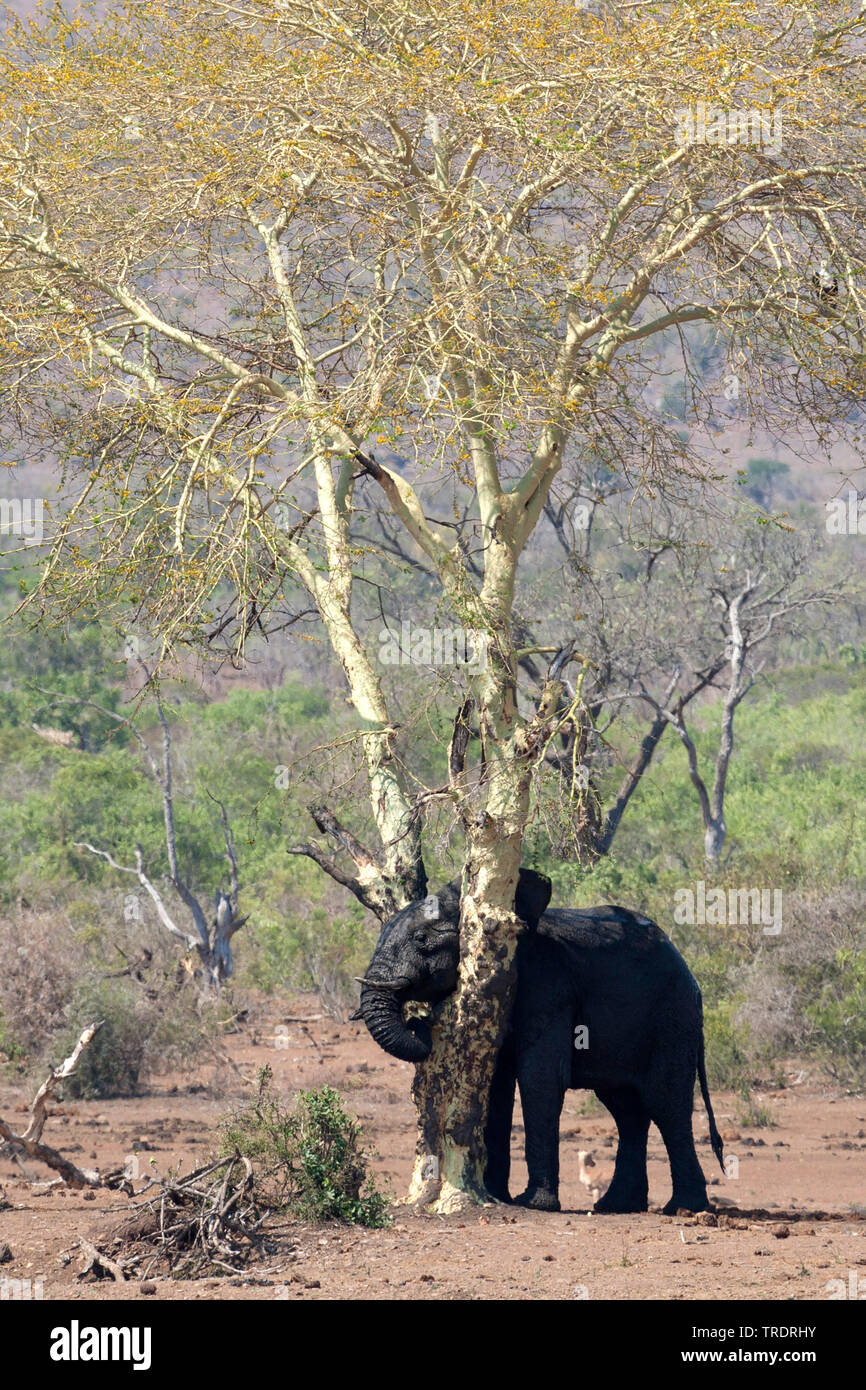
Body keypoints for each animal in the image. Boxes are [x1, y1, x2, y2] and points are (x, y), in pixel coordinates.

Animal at [355, 868, 725, 1214]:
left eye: (421, 938)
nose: (417, 1022)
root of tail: (690, 975)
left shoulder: (548, 985)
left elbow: (540, 1078)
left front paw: (533, 1203)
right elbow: (496, 1085)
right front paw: (498, 1196)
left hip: (673, 1017)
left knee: (665, 1103)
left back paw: (685, 1207)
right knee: (627, 1111)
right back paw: (617, 1205)